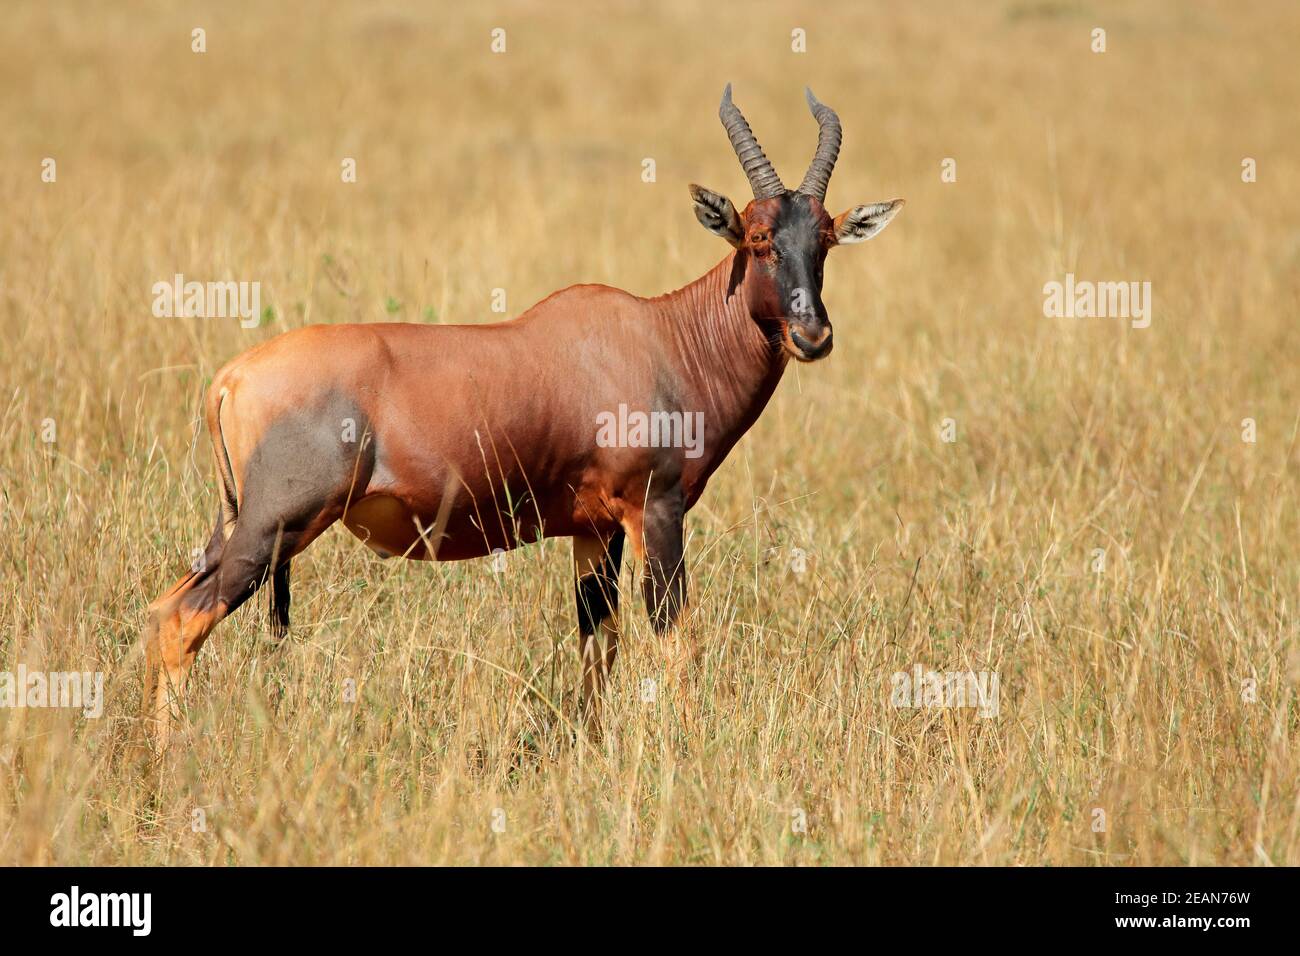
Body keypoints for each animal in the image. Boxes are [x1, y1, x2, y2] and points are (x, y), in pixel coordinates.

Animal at [141, 85, 902, 746]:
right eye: (758, 239)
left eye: (826, 239)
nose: (813, 336)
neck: (657, 335)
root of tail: (232, 378)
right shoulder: (655, 511)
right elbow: (674, 638)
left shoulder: (594, 530)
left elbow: (600, 644)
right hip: (278, 525)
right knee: (184, 620)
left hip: (235, 522)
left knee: (161, 608)